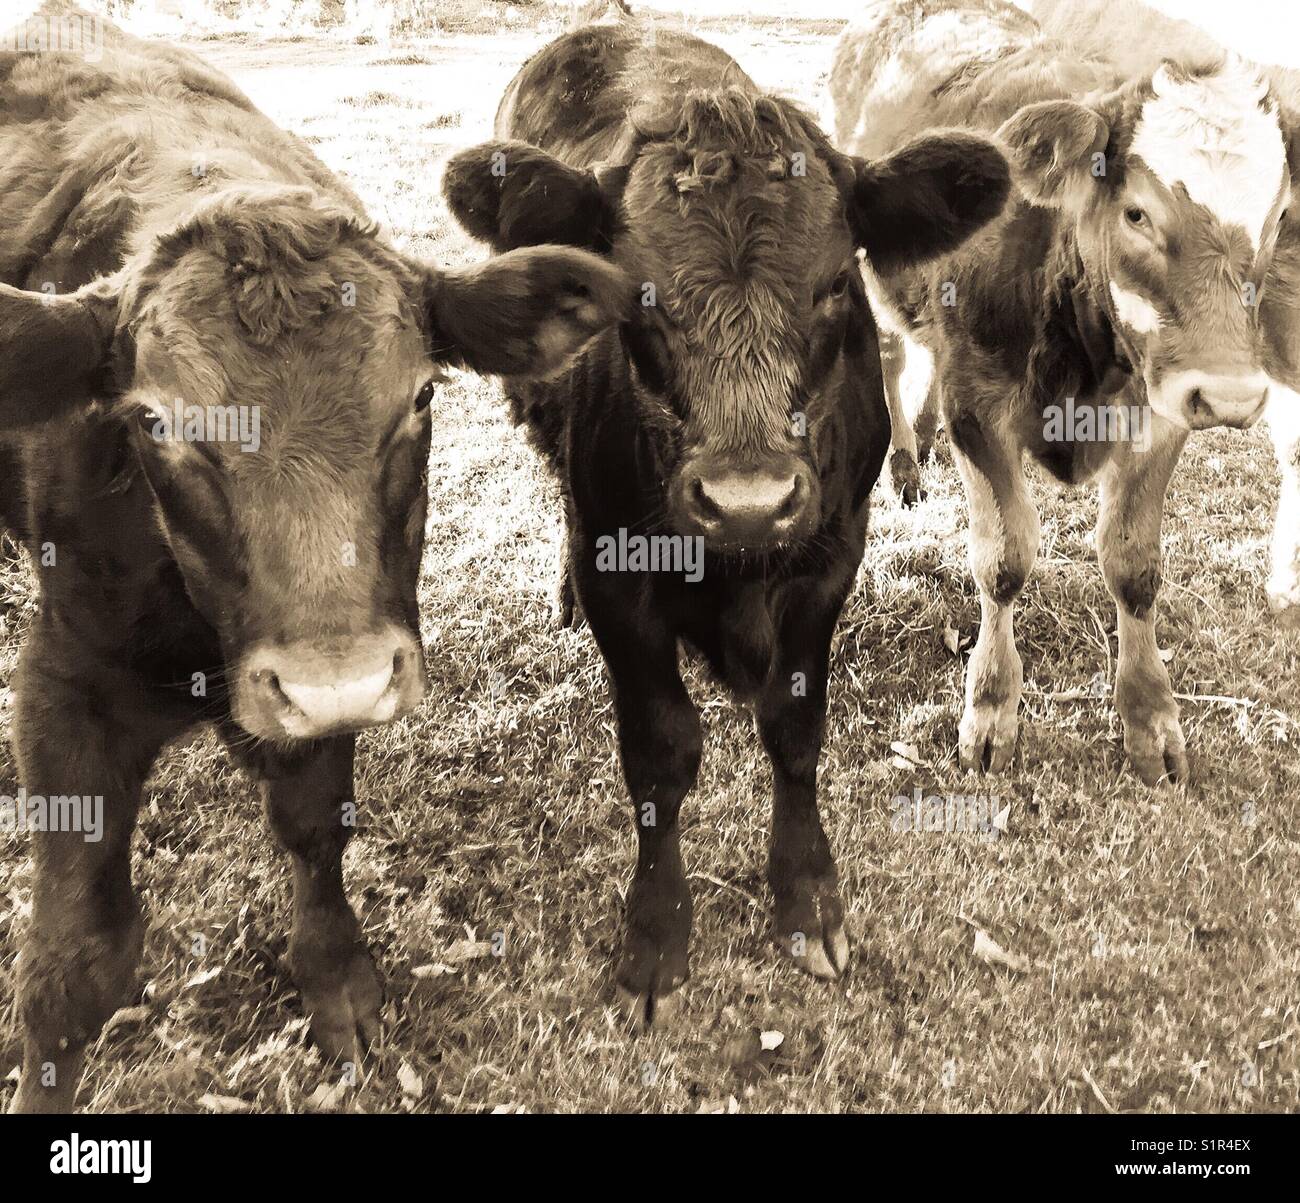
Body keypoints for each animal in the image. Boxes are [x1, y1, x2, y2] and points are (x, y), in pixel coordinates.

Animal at [0, 2, 631, 1113]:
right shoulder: (62, 676)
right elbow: (77, 953)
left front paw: (337, 986)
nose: (335, 680)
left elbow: (311, 827)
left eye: (420, 396)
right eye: (155, 422)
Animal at [443, 19, 1010, 1023]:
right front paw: (656, 934)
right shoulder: (616, 574)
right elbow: (661, 750)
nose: (748, 500)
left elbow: (795, 726)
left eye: (835, 284)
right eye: (637, 292)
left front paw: (807, 897)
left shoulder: (833, 552)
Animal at [830, 0, 1298, 785]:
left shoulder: (1160, 415)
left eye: (1276, 218)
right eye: (1137, 213)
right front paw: (991, 710)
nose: (1230, 396)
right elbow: (1003, 560)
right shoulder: (976, 408)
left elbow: (1134, 566)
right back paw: (903, 463)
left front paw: (1150, 721)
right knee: (895, 358)